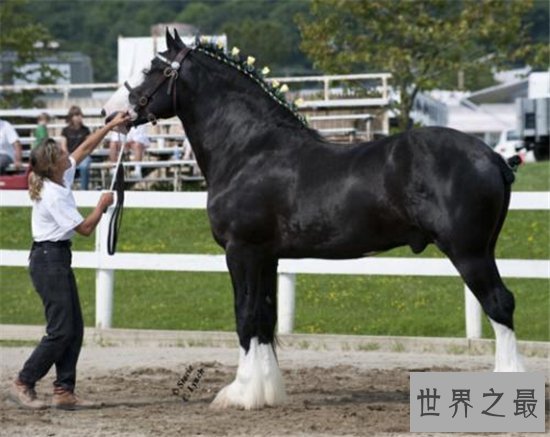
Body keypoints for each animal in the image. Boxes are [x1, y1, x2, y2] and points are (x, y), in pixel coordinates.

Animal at [104, 30, 528, 408]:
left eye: (154, 68)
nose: (112, 114)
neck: (249, 149)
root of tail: (493, 157)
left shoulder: (241, 252)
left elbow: (245, 317)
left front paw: (240, 394)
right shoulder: (266, 257)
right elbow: (265, 318)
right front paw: (266, 392)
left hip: (469, 252)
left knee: (499, 304)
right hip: (483, 249)